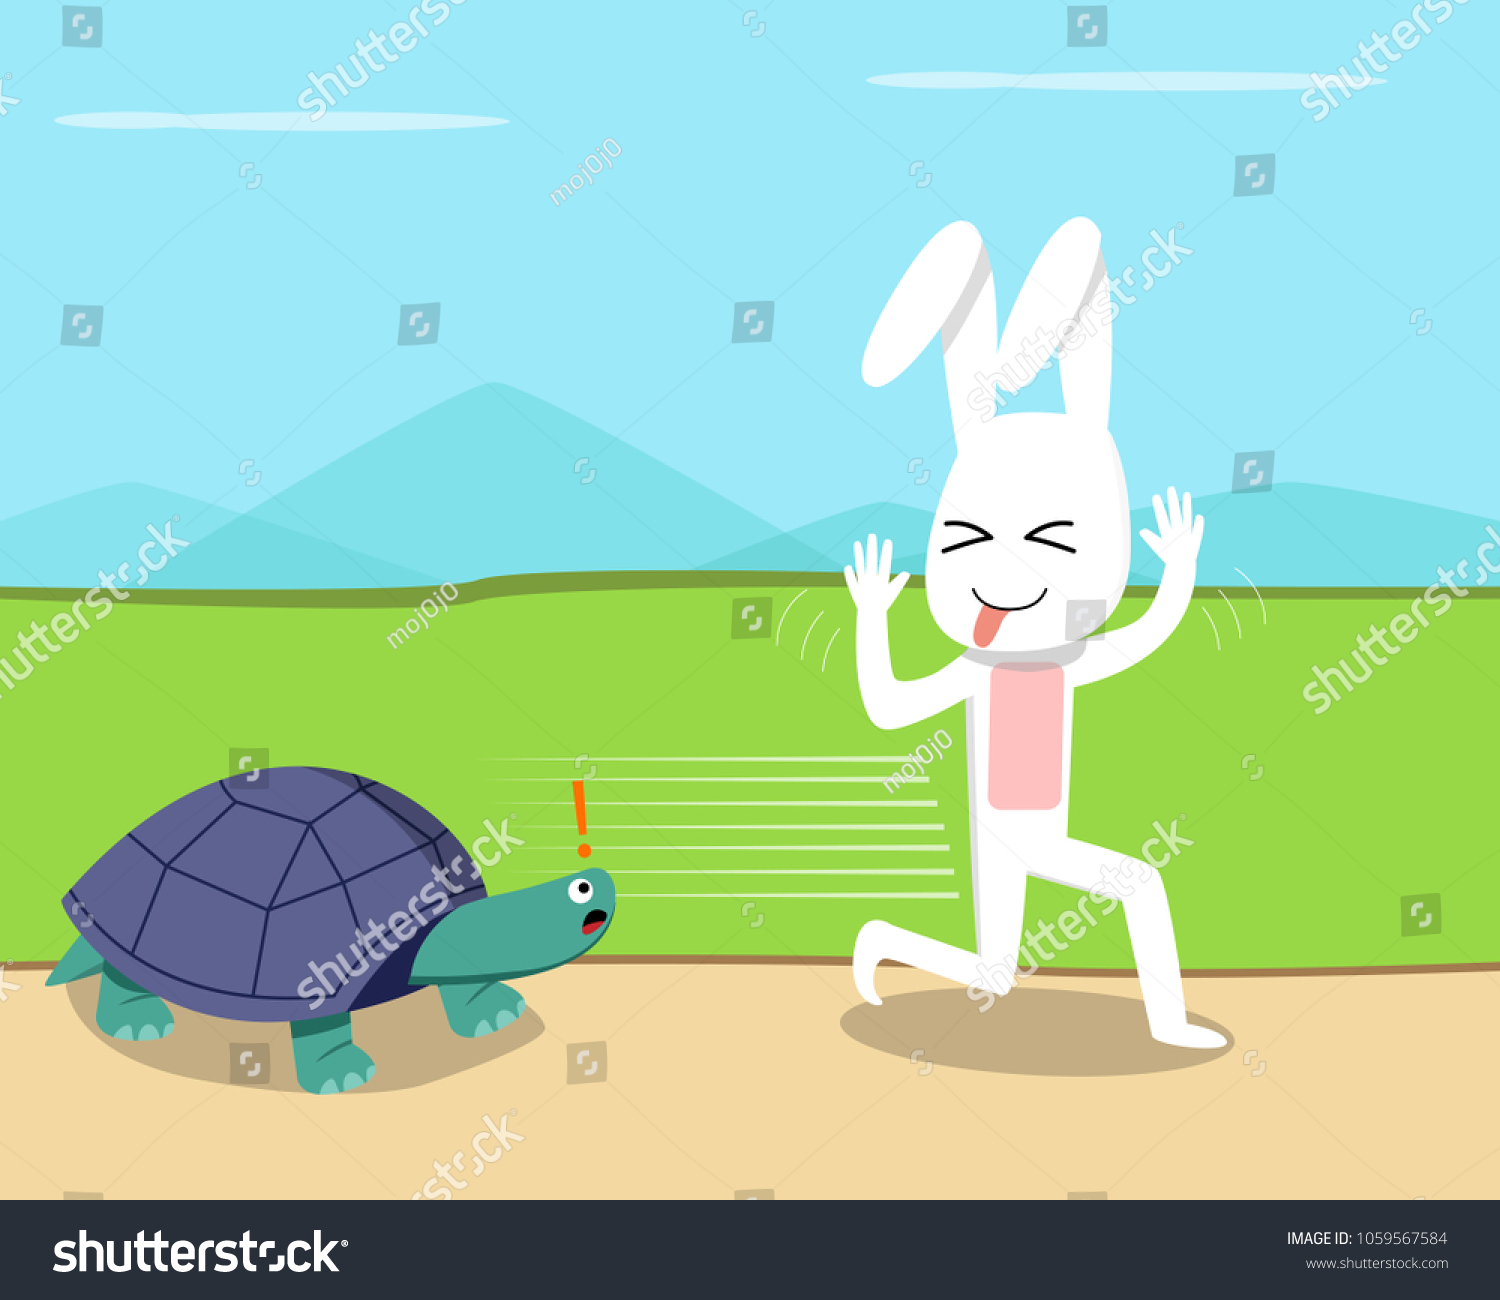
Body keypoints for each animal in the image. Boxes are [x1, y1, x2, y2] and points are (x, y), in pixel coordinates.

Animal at [845, 217, 1224, 1049]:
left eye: (1054, 539)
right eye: (963, 538)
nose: (1000, 598)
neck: (1020, 657)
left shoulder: (1080, 660)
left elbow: (1149, 631)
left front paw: (1179, 548)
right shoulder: (971, 668)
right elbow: (890, 709)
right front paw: (872, 595)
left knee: (1018, 955)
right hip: (1004, 855)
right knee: (994, 961)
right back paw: (872, 951)